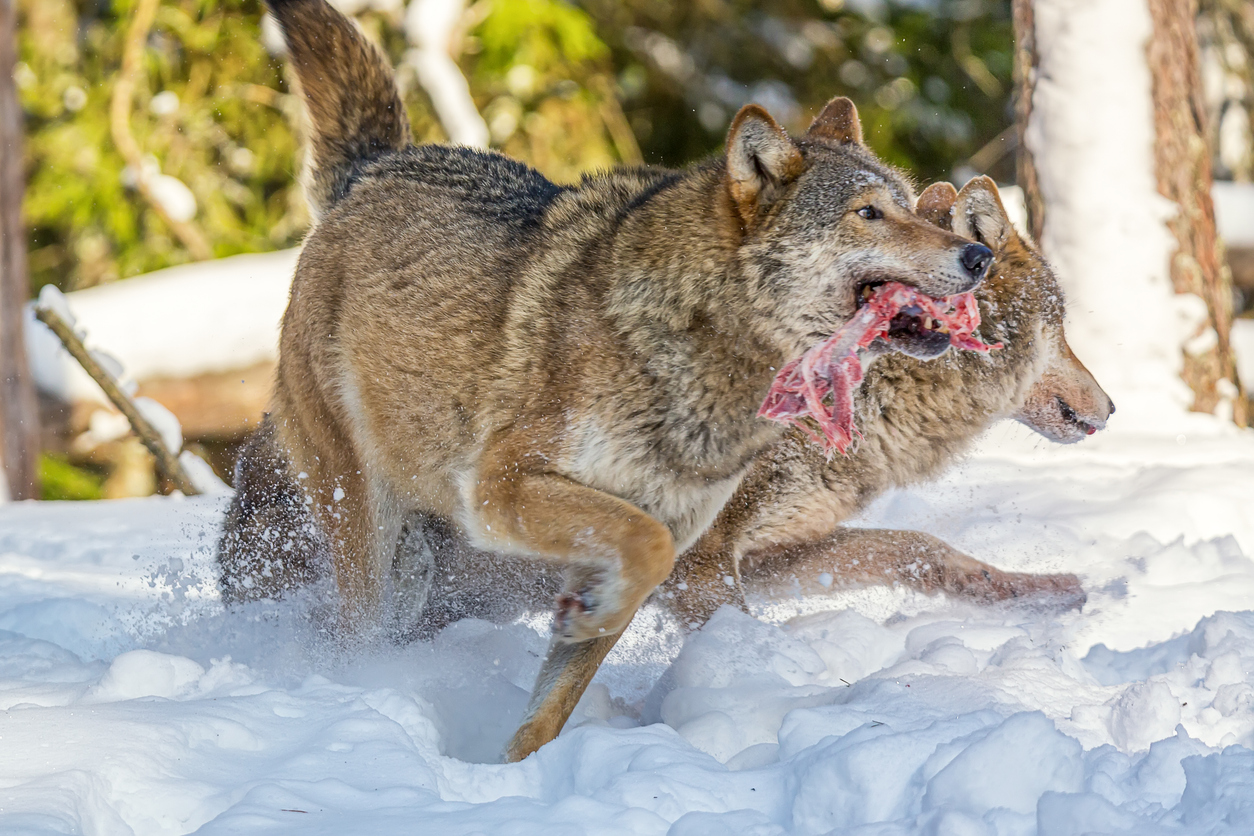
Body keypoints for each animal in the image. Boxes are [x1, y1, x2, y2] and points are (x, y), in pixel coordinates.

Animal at [220, 0, 994, 761]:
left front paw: (519, 765)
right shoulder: (505, 489)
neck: (698, 358)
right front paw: (590, 618)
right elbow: (645, 549)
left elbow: (551, 707)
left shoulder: (646, 530)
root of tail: (378, 165)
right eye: (868, 213)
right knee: (355, 632)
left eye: (910, 204)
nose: (979, 254)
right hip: (365, 521)